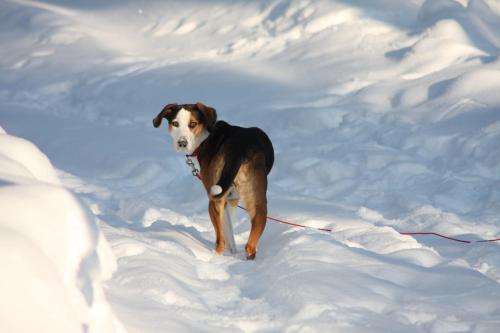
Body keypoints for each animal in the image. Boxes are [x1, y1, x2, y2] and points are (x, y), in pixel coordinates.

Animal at [154, 102, 276, 258]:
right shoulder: (232, 199)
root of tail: (238, 149)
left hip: (213, 201)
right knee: (250, 245)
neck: (205, 137)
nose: (182, 143)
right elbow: (230, 228)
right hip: (257, 201)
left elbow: (226, 231)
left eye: (193, 124)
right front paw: (233, 251)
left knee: (220, 241)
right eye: (175, 123)